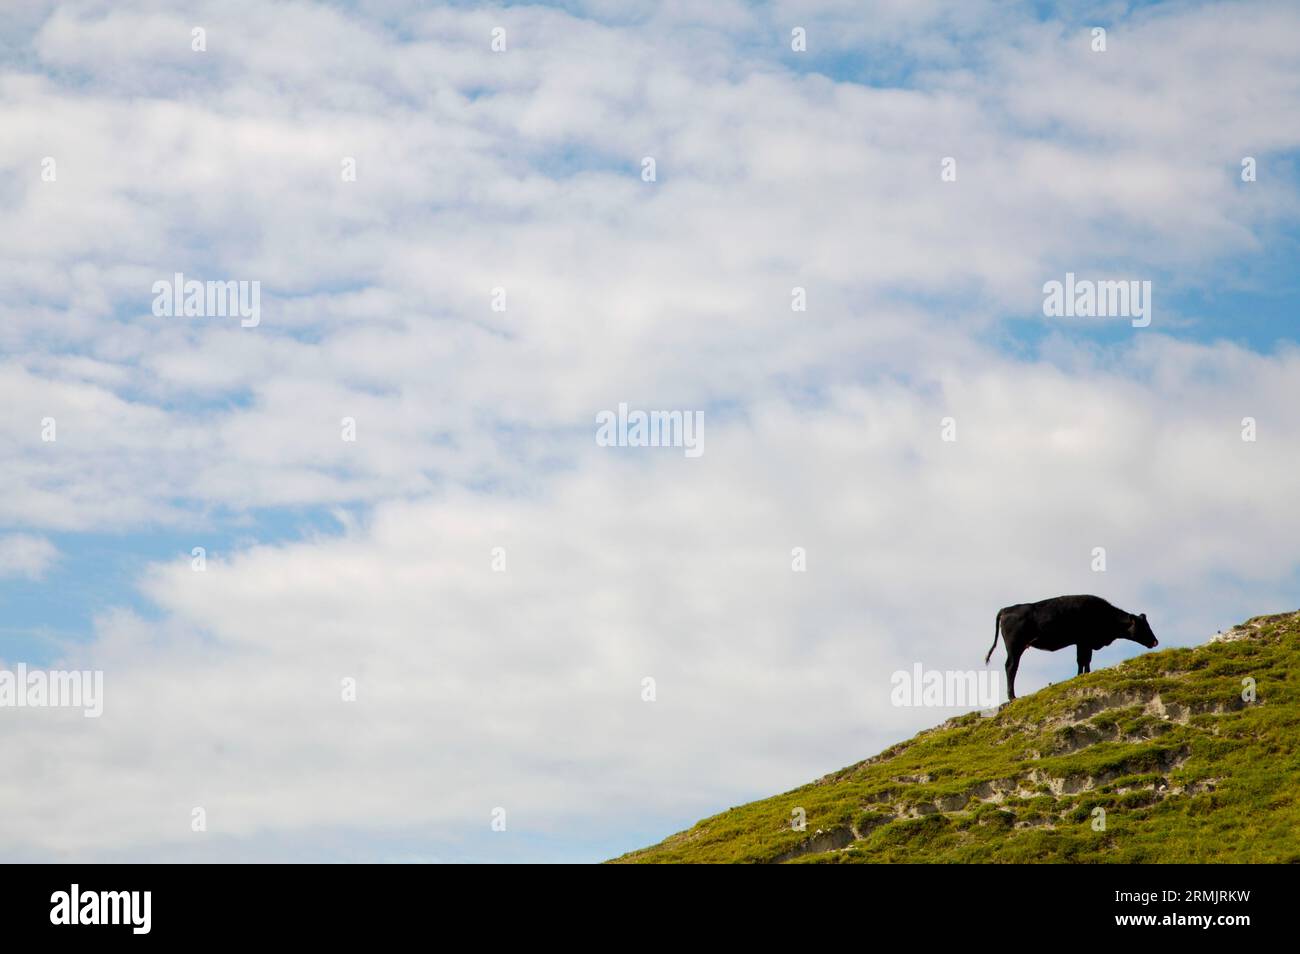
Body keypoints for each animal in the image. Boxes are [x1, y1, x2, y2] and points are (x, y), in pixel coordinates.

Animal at [985, 594, 1158, 701]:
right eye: (1142, 626)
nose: (1155, 641)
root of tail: (1007, 609)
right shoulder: (1084, 641)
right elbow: (1083, 660)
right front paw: (1084, 674)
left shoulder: (1082, 643)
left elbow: (1083, 661)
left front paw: (1082, 674)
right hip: (1015, 647)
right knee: (1011, 667)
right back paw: (1012, 696)